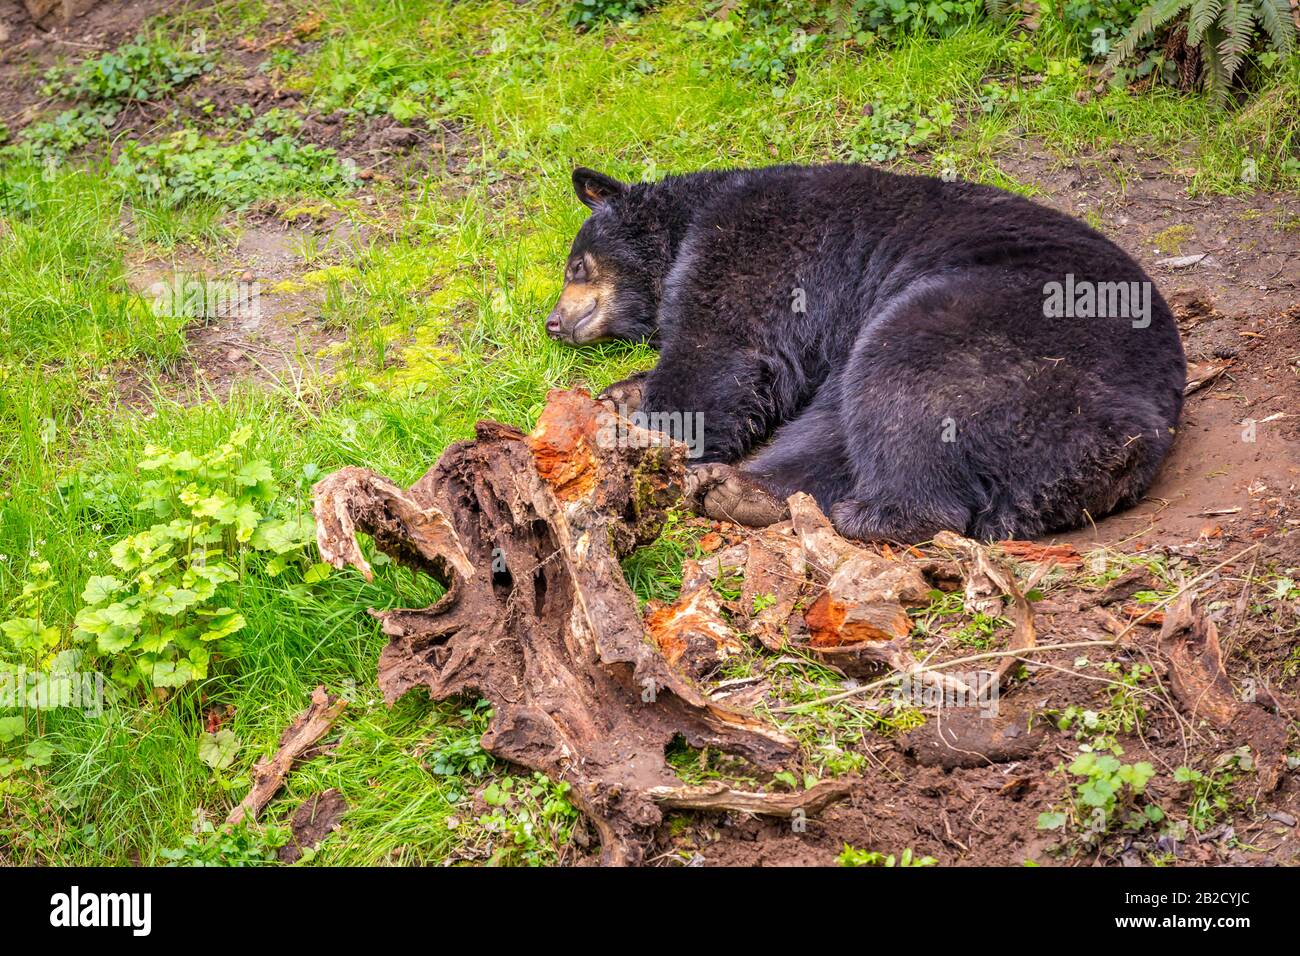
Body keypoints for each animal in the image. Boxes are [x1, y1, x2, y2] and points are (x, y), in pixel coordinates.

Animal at [546, 164, 1186, 542]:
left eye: (576, 267)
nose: (553, 323)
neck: (689, 220)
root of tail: (1118, 450)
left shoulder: (755, 244)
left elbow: (721, 348)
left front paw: (651, 443)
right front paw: (620, 396)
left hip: (993, 327)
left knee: (899, 390)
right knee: (837, 423)